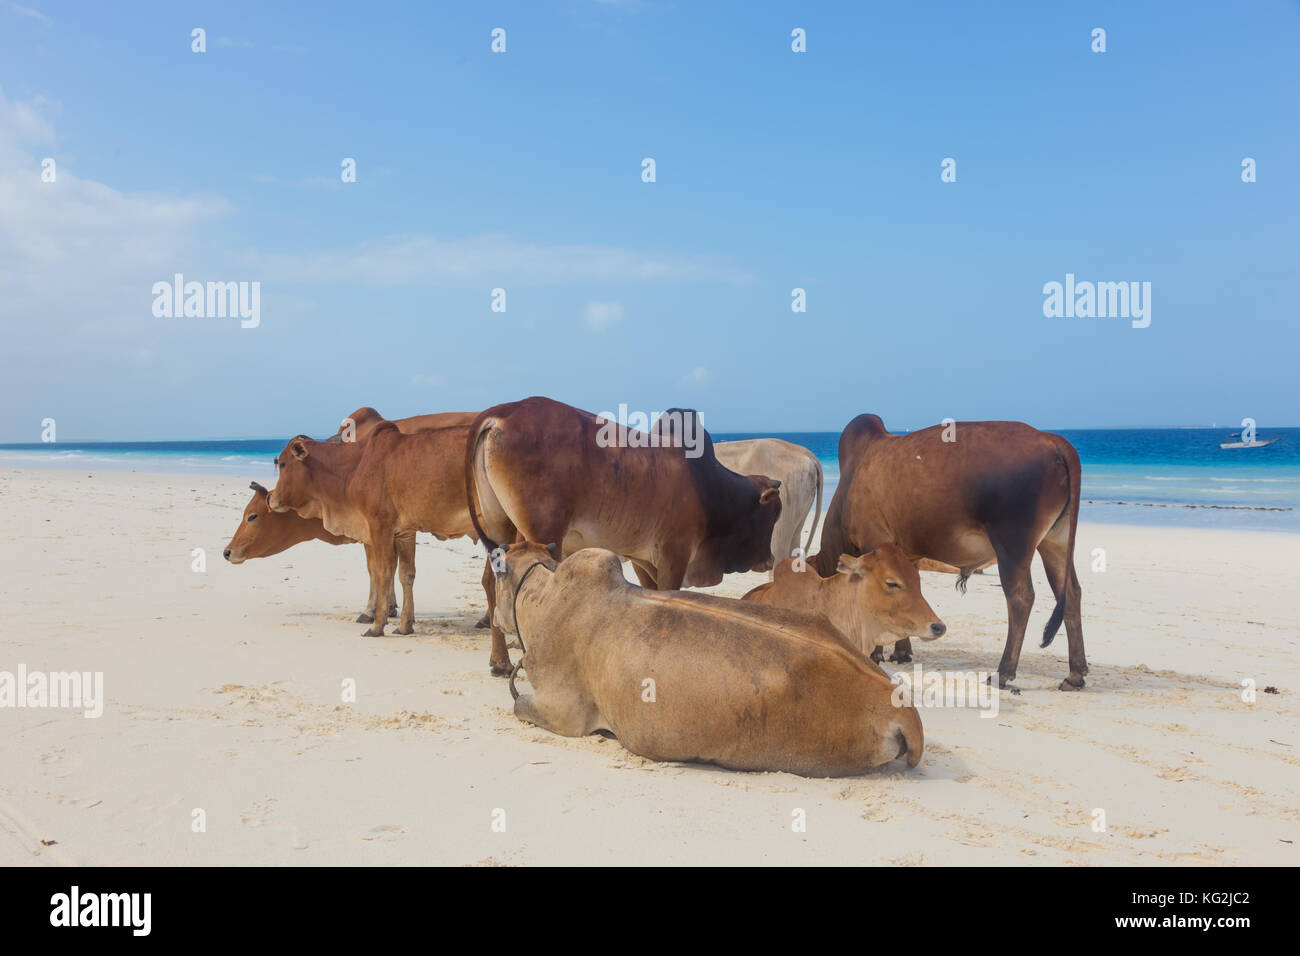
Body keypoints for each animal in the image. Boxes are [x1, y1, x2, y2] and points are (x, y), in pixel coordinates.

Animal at [267, 422, 480, 637]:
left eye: (283, 464)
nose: (270, 498)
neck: (355, 466)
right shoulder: (405, 532)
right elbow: (406, 573)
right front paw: (405, 625)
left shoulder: (379, 526)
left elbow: (383, 571)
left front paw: (377, 624)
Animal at [466, 396, 783, 676]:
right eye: (774, 514)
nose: (770, 560)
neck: (710, 487)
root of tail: (502, 413)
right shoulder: (674, 554)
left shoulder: (643, 559)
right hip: (542, 530)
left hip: (500, 526)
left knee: (492, 579)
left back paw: (500, 661)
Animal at [815, 415, 1086, 691]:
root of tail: (1053, 440)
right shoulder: (908, 555)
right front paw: (901, 652)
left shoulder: (874, 541)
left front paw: (875, 653)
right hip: (1055, 543)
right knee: (1071, 594)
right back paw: (1075, 674)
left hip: (1012, 545)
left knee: (1021, 598)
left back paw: (1003, 673)